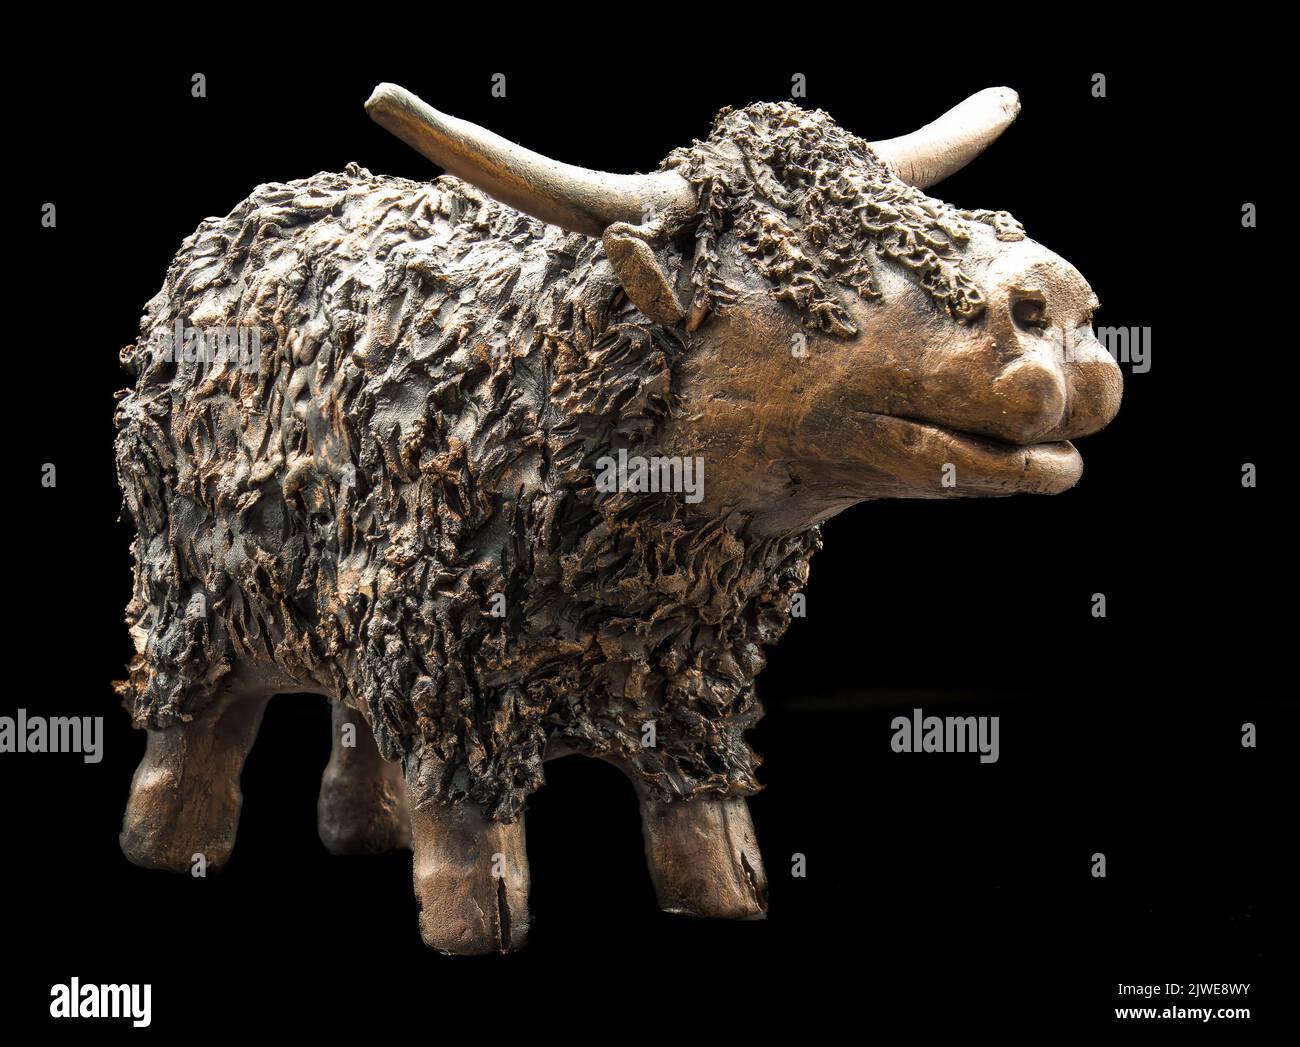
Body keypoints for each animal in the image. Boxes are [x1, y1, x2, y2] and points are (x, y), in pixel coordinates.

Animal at [113, 83, 1121, 954]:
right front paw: (472, 920)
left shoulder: (682, 681)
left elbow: (701, 818)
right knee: (196, 727)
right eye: (791, 266)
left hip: (347, 589)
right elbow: (469, 823)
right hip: (193, 590)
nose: (1059, 306)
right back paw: (168, 841)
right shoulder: (455, 662)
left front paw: (725, 894)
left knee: (355, 700)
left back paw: (366, 830)